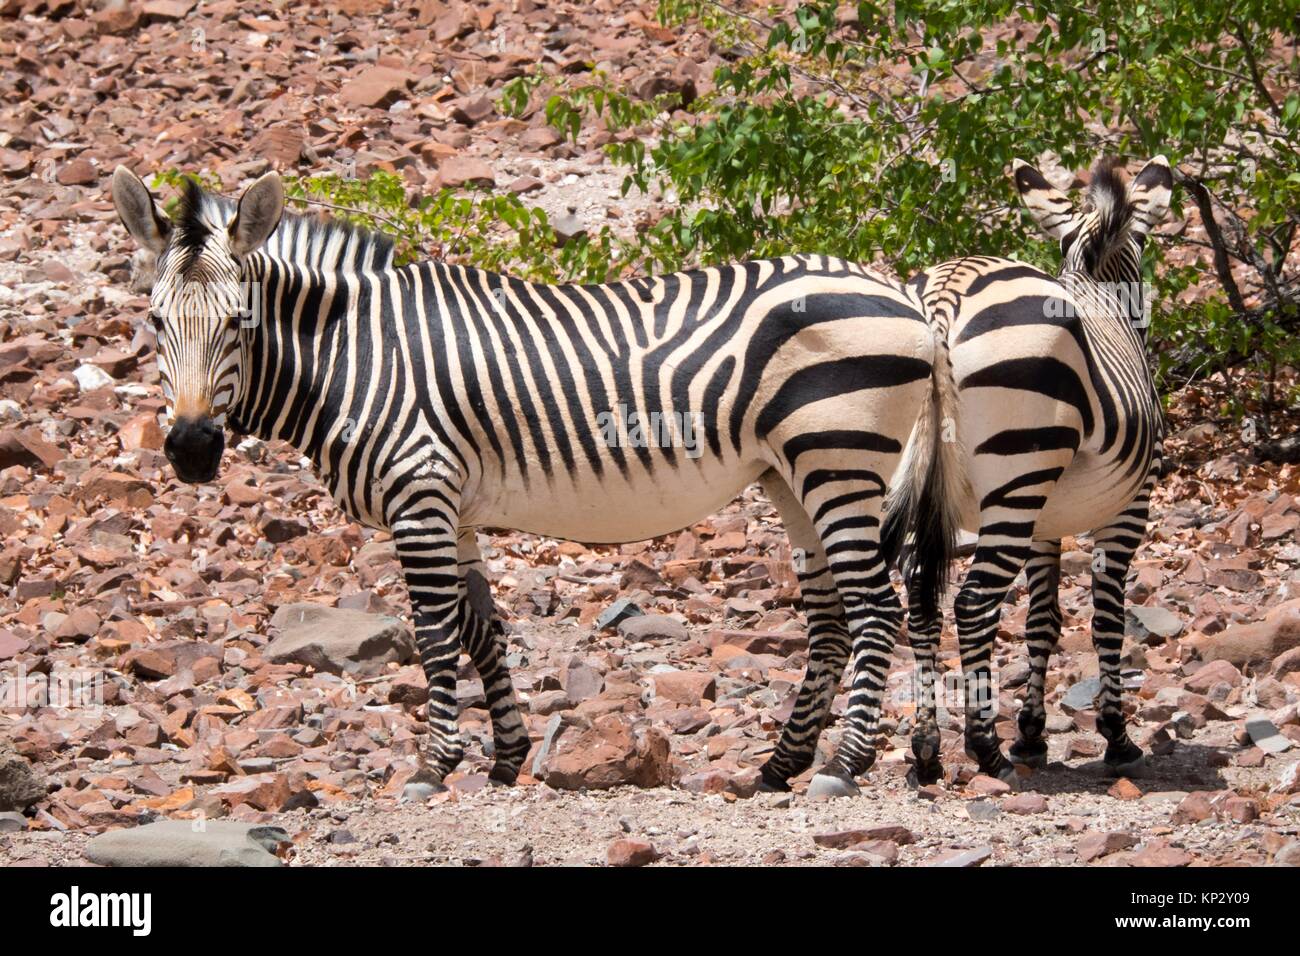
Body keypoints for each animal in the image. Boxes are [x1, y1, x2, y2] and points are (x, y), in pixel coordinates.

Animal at [109, 165, 959, 795]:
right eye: (155, 321)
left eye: (238, 324)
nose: (191, 450)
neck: (354, 354)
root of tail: (905, 295)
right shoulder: (452, 506)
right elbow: (482, 628)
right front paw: (506, 758)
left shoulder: (420, 492)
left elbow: (433, 633)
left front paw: (432, 766)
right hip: (793, 472)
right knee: (833, 617)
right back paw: (780, 766)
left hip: (837, 457)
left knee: (877, 608)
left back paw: (843, 766)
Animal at [882, 155, 1174, 786]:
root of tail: (945, 295)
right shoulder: (1128, 508)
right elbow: (1107, 616)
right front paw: (1117, 738)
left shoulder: (1046, 521)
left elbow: (1043, 618)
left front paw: (1033, 733)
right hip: (1018, 481)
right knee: (973, 604)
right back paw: (983, 749)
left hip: (926, 482)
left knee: (921, 597)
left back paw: (926, 750)